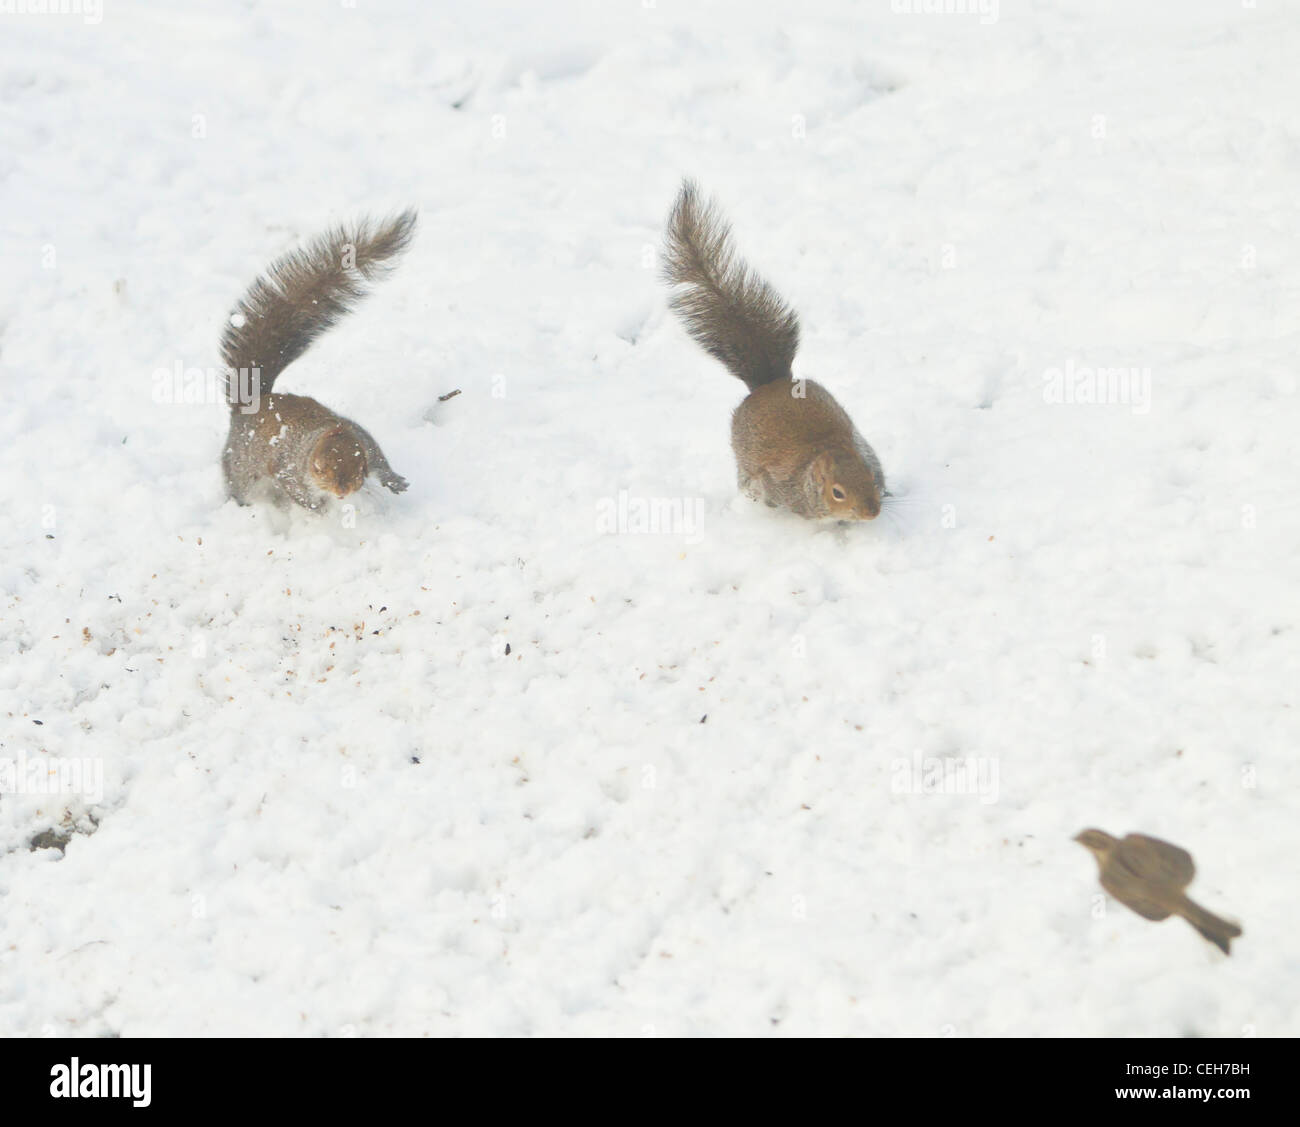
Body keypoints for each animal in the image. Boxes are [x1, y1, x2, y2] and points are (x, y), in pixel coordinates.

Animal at [220, 210, 417, 510]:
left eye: (360, 468)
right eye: (321, 468)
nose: (343, 492)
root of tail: (246, 405)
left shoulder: (362, 438)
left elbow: (378, 456)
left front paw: (392, 479)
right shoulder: (287, 467)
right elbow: (296, 490)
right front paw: (318, 508)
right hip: (243, 472)